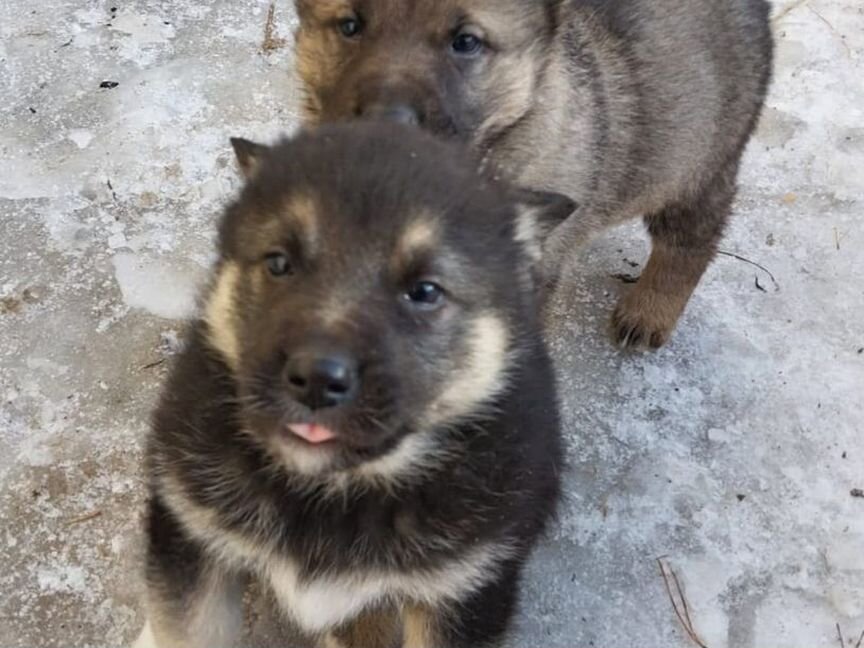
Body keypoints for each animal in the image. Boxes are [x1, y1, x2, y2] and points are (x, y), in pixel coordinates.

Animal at [132, 123, 572, 648]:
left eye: (425, 291)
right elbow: (183, 627)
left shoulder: (465, 588)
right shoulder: (192, 536)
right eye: (278, 263)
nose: (316, 381)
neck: (332, 493)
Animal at [294, 0, 772, 350]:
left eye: (465, 41)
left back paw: (648, 313)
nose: (385, 125)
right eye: (350, 25)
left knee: (692, 240)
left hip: (699, 159)